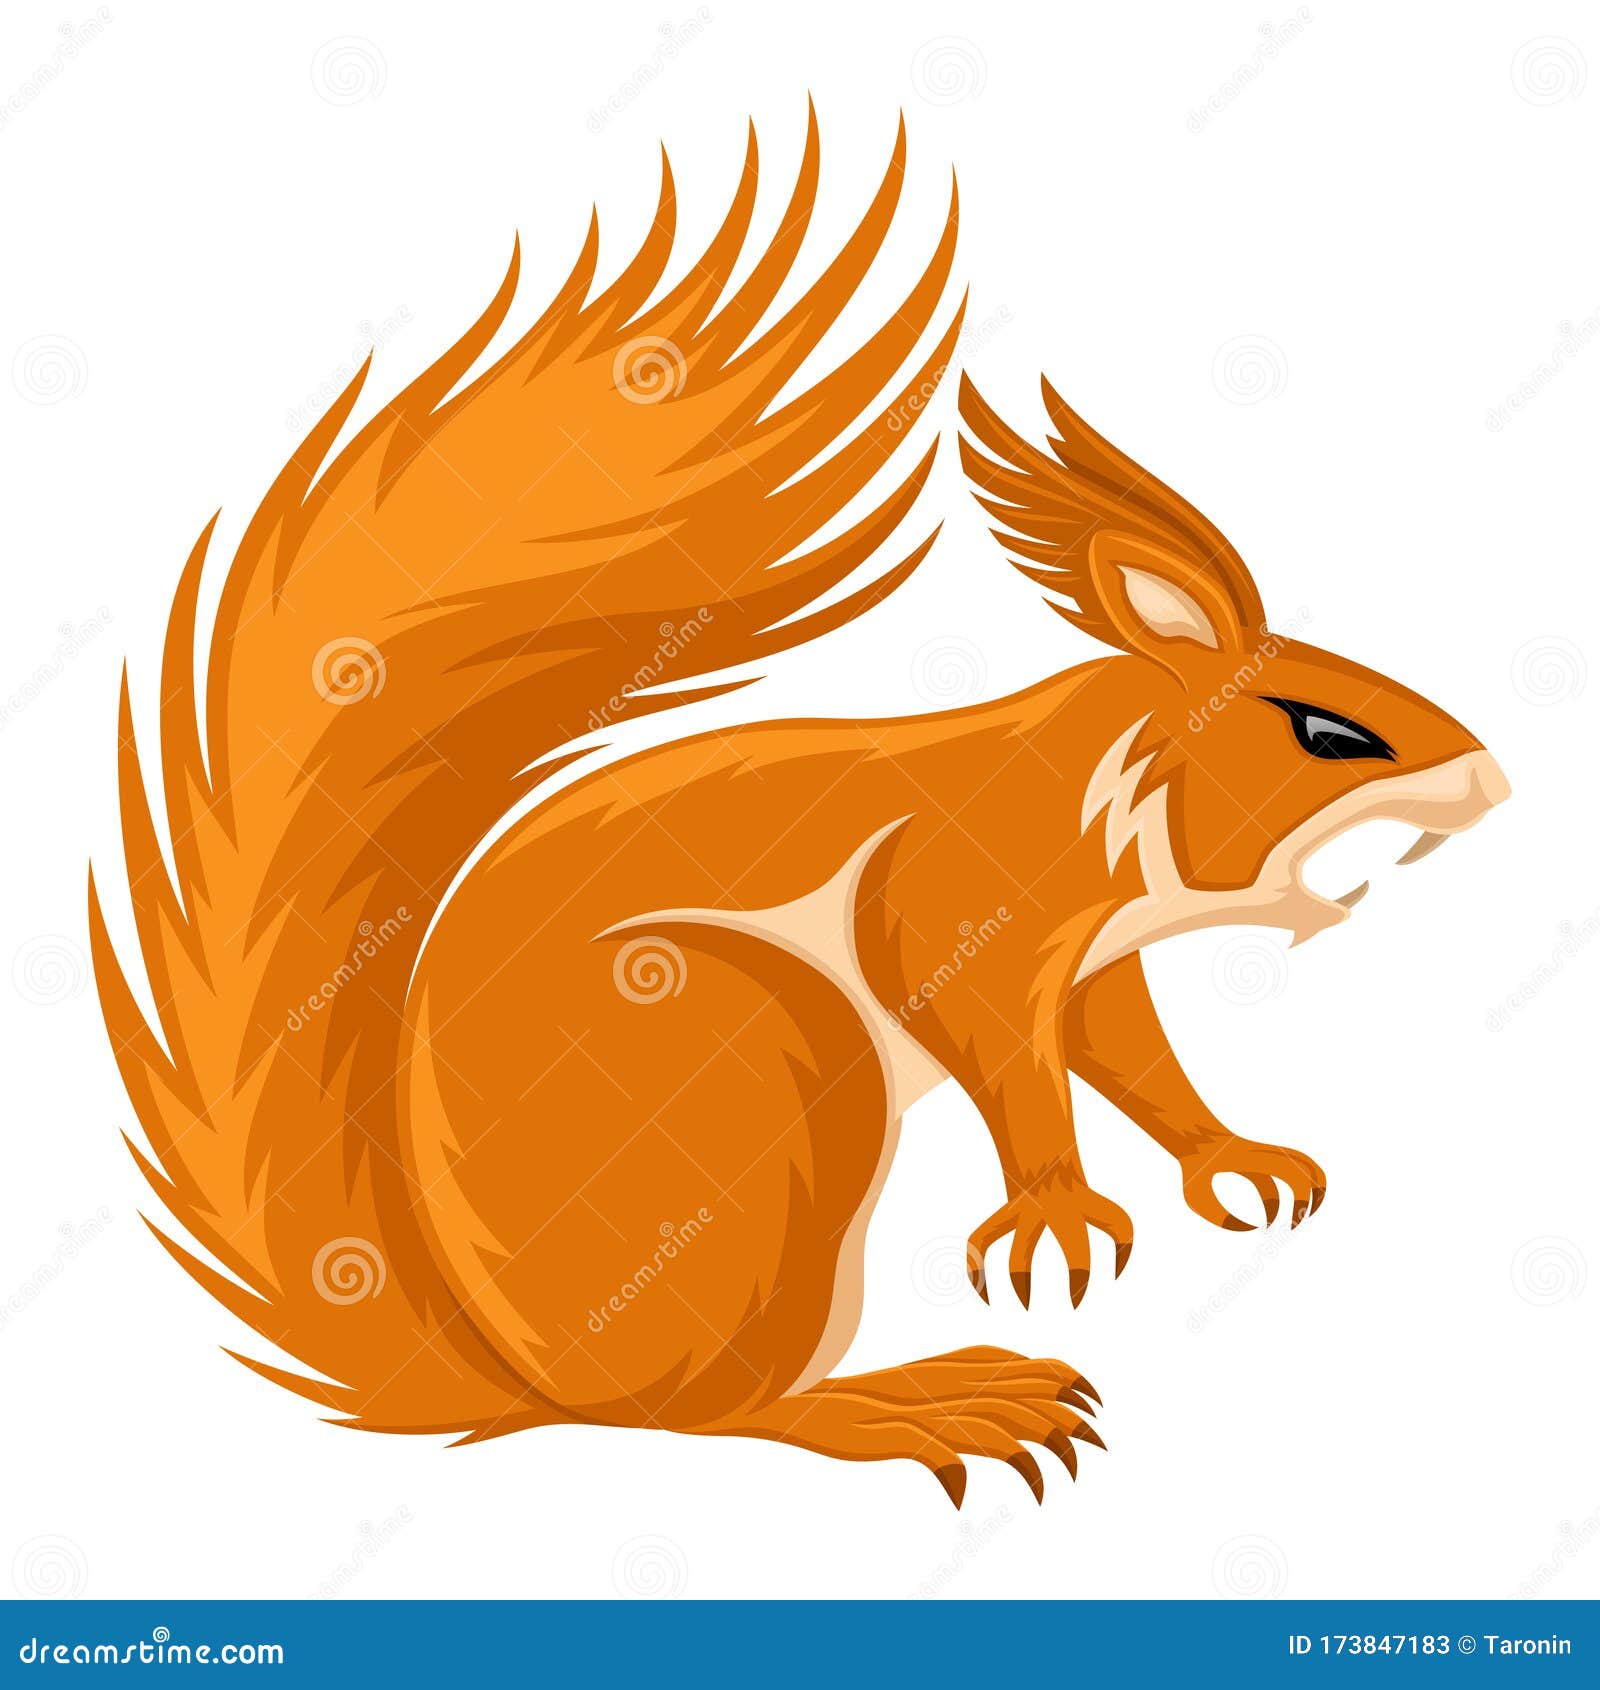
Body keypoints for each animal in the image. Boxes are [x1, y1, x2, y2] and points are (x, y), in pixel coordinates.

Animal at [92, 114, 1508, 1508]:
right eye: (1327, 732)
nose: (1494, 780)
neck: (1115, 778)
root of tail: (516, 1376)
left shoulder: (1098, 960)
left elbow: (1131, 1054)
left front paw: (1231, 1157)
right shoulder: (967, 900)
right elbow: (997, 1038)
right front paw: (1053, 1208)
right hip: (765, 1061)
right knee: (713, 1413)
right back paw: (918, 1403)